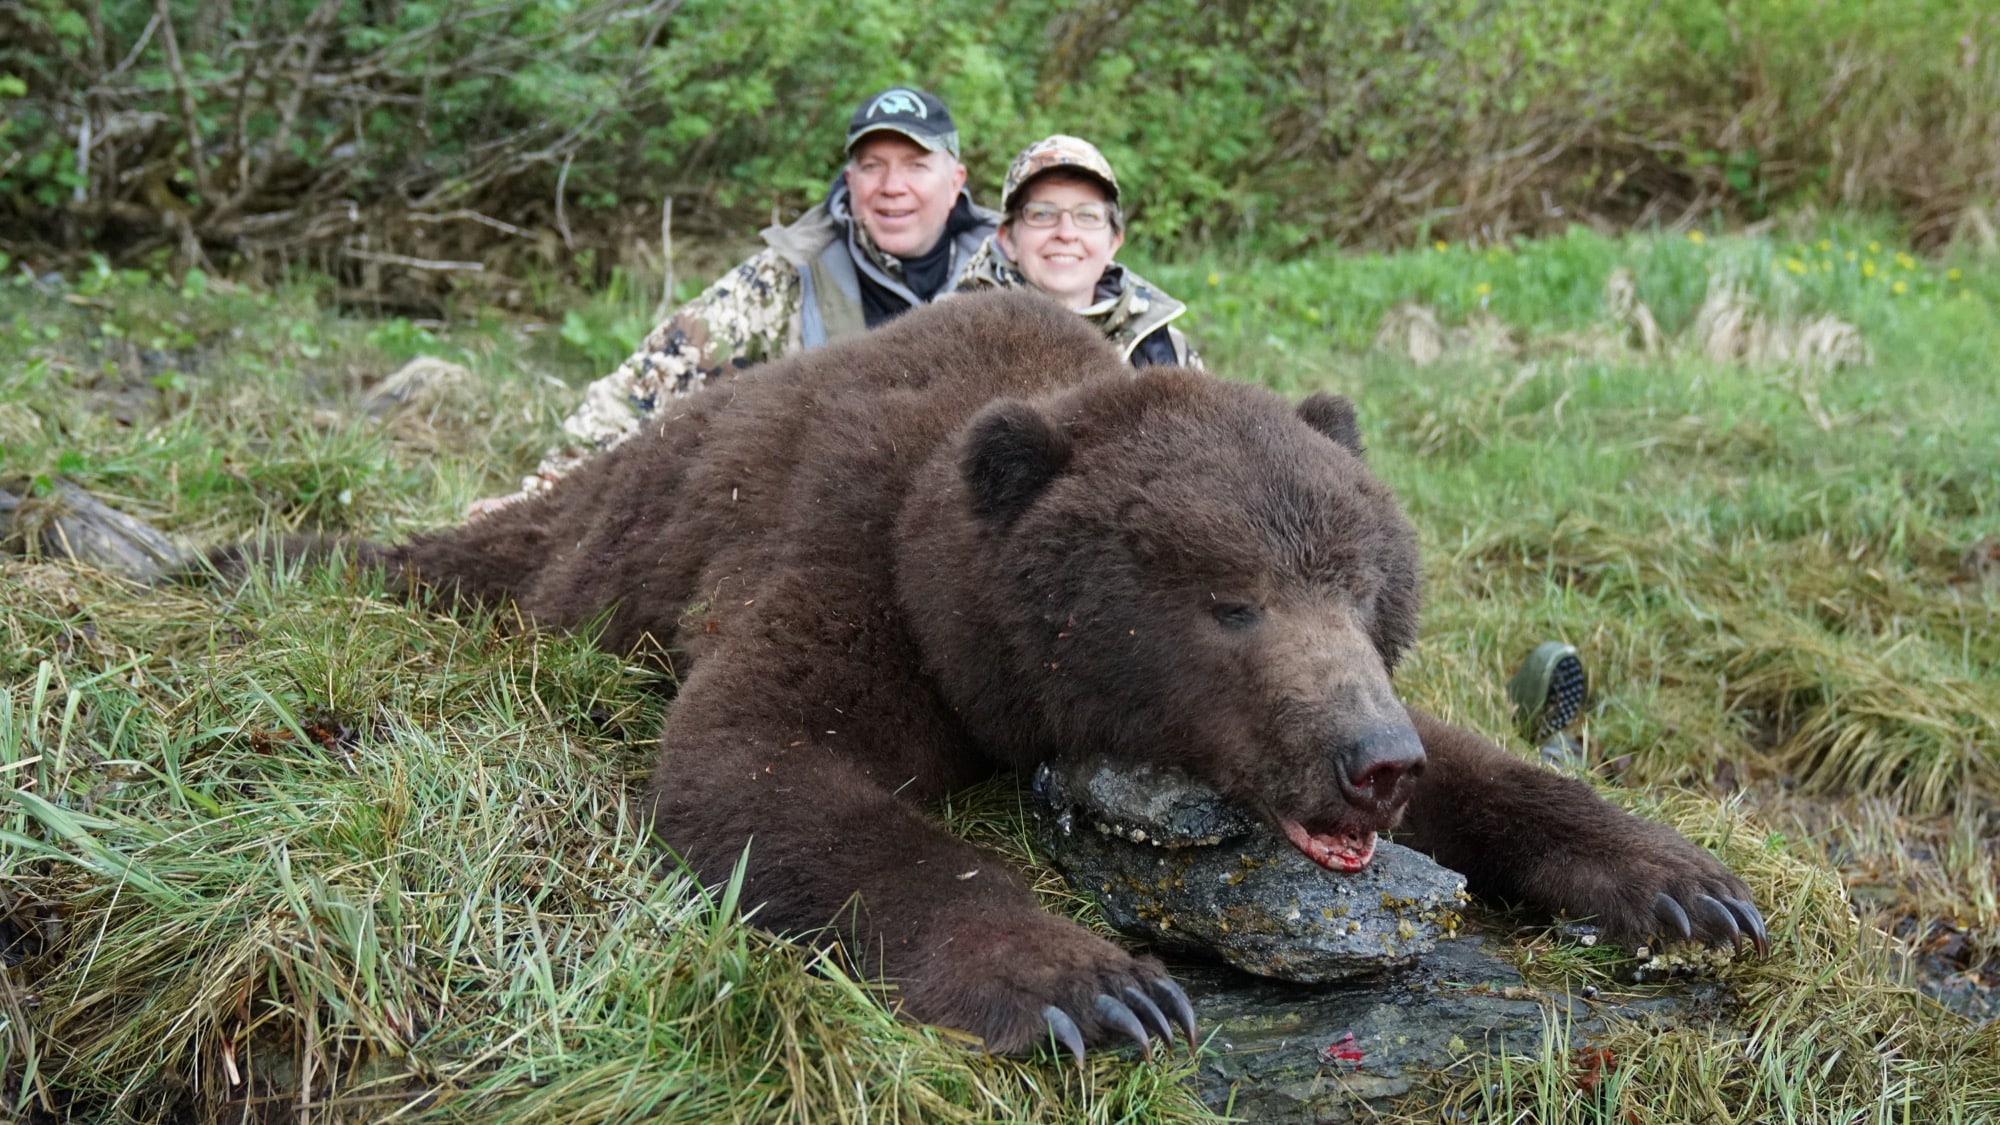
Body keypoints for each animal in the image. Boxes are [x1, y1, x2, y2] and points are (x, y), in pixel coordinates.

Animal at [285, 289, 1764, 1058]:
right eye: (1230, 604)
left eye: (1362, 587)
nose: (1368, 763)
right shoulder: (847, 564)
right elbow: (759, 761)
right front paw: (1092, 983)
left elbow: (1490, 762)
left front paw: (1683, 885)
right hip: (592, 555)